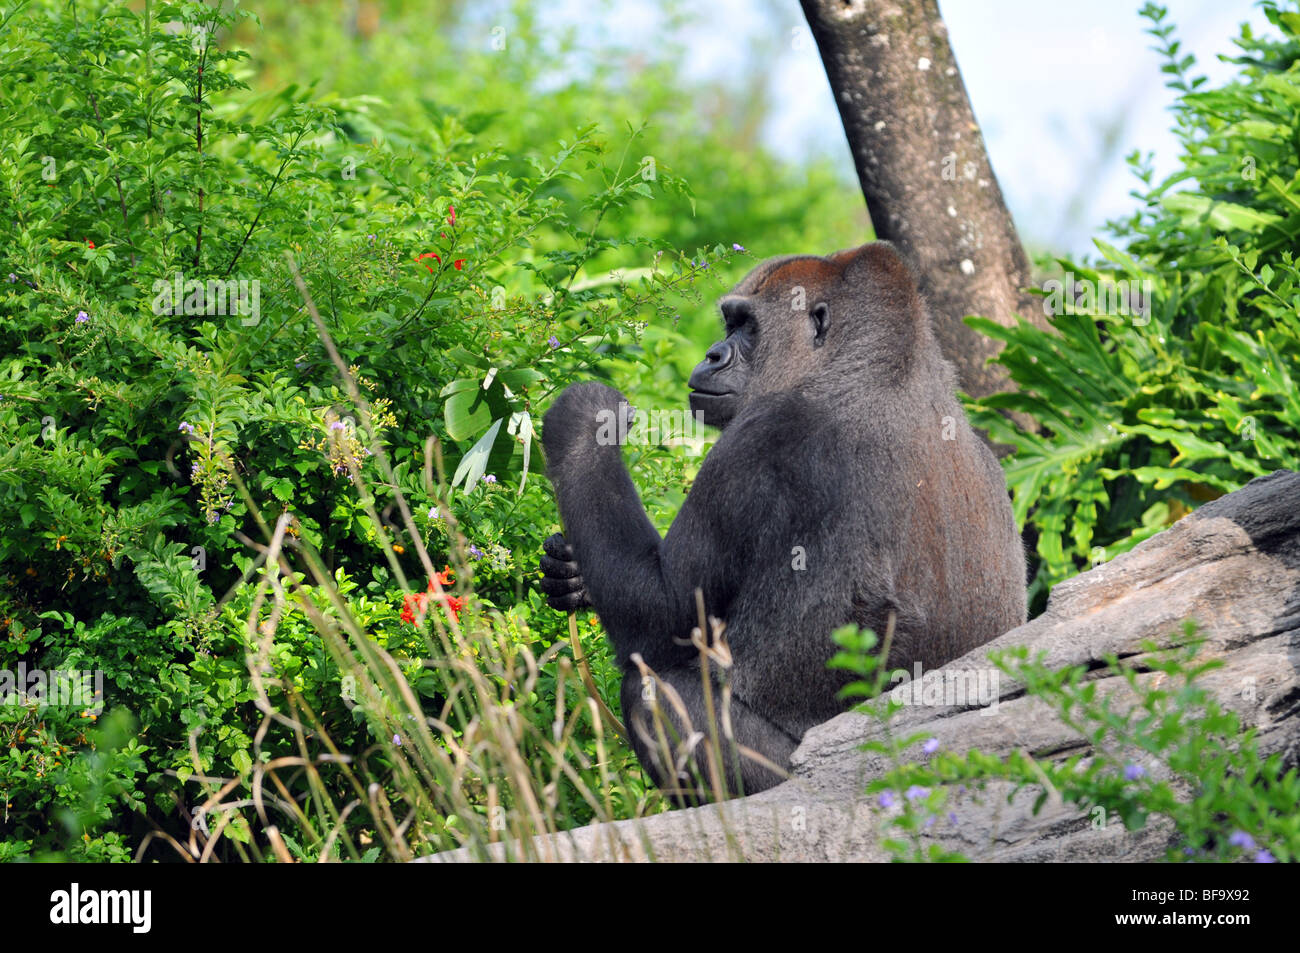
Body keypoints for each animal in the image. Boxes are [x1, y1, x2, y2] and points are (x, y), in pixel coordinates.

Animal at [539, 241, 1026, 799]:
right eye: (729, 324)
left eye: (746, 326)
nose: (713, 354)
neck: (878, 364)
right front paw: (570, 577)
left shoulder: (762, 436)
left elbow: (660, 614)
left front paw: (583, 421)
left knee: (656, 691)